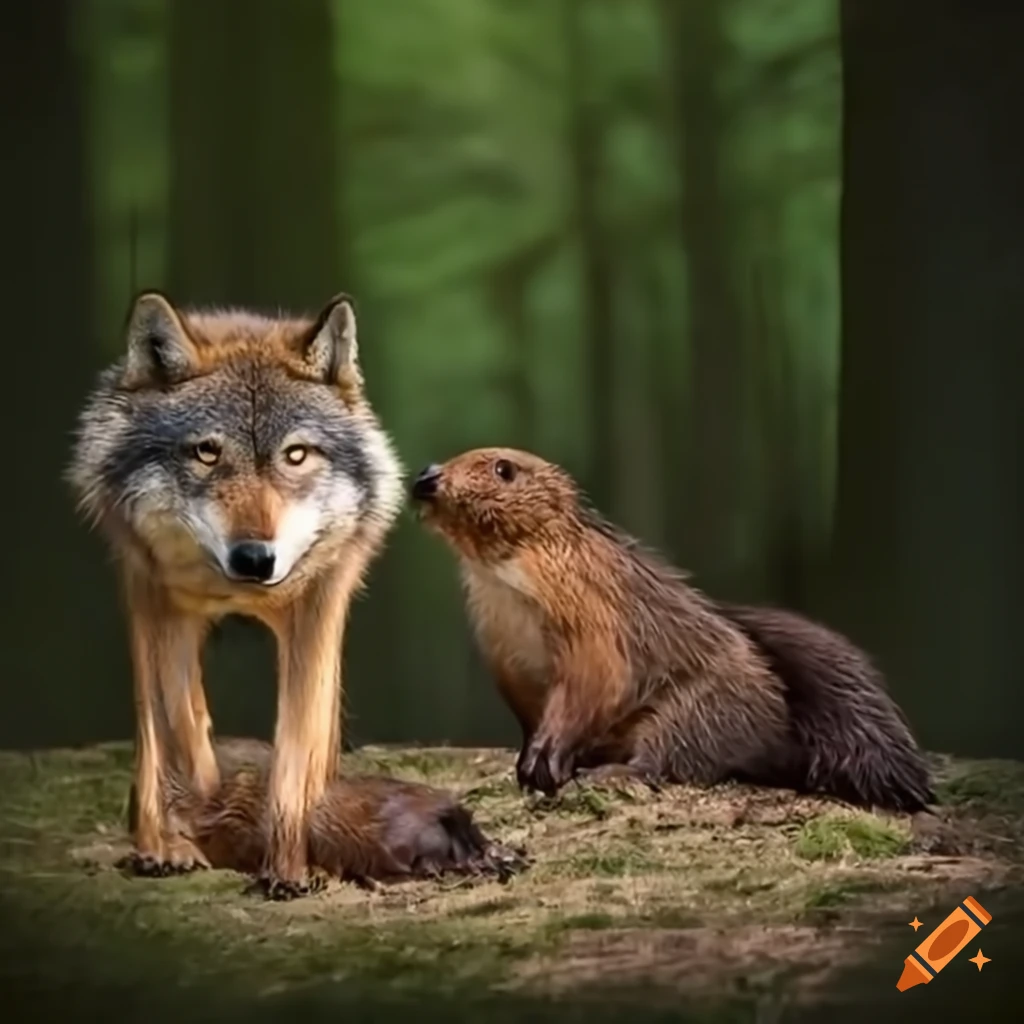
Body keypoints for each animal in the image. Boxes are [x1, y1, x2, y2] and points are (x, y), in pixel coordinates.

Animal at [67, 290, 404, 899]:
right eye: (207, 452)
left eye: (296, 455)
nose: (253, 558)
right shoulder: (155, 600)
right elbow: (175, 726)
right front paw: (174, 842)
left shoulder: (321, 602)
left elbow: (301, 745)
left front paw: (294, 868)